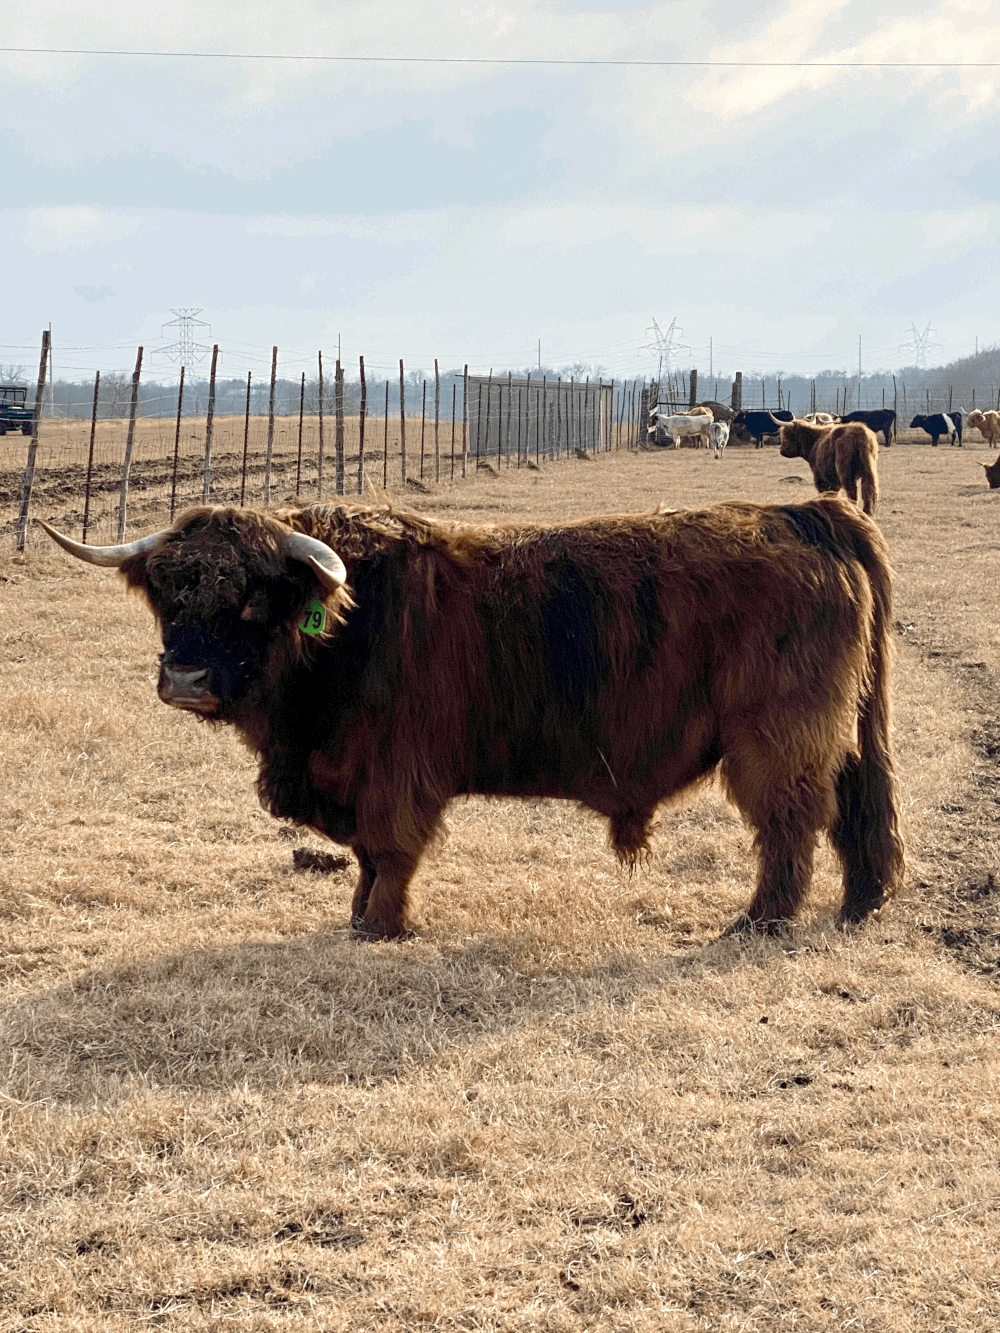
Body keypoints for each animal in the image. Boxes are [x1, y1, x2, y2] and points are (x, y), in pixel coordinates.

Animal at [41, 499, 903, 940]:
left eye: (251, 595)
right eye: (167, 592)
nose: (185, 678)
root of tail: (807, 512)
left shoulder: (394, 773)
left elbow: (389, 851)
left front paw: (380, 925)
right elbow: (364, 856)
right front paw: (357, 914)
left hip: (776, 740)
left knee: (791, 823)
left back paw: (760, 921)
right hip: (844, 732)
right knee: (858, 810)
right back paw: (860, 902)